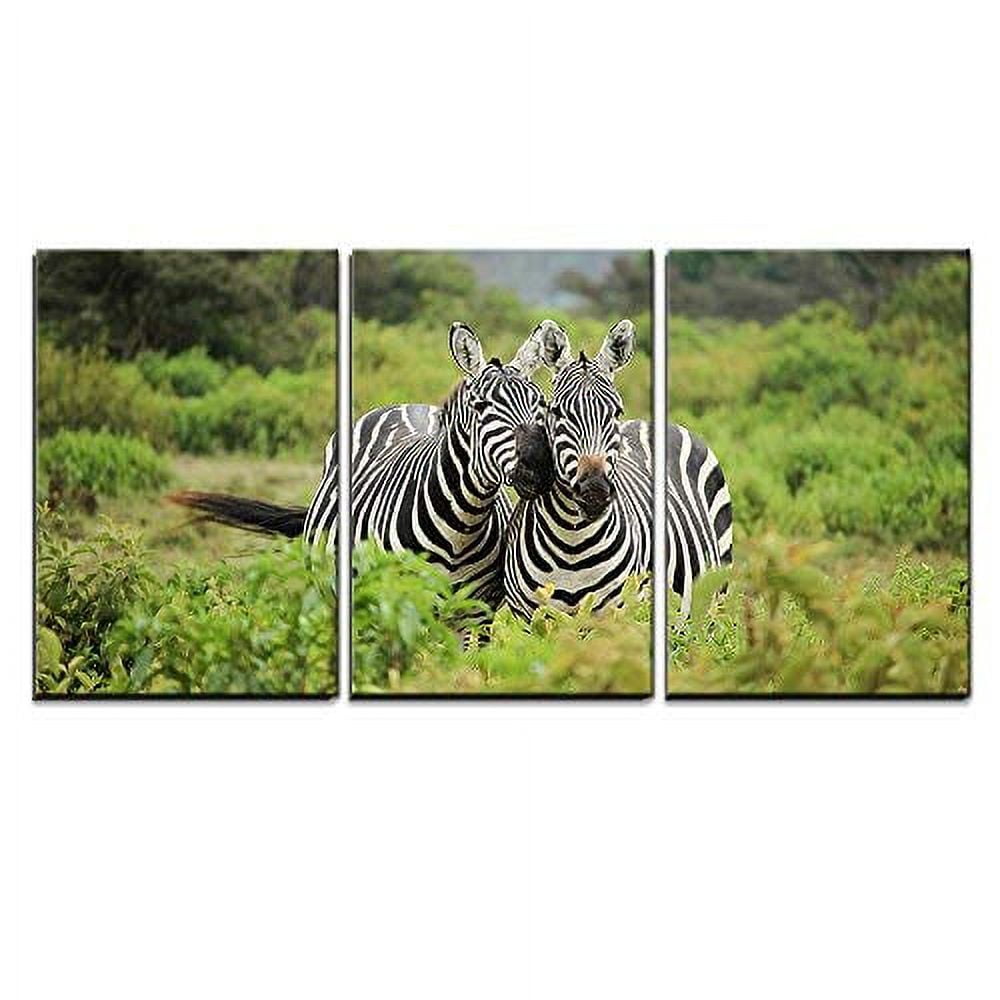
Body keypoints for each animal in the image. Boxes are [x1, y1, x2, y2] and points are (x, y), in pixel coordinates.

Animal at [171, 321, 562, 609]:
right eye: (481, 407)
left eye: (541, 404)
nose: (539, 467)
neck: (461, 525)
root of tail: (402, 405)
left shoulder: (475, 614)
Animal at [503, 319, 654, 618]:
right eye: (557, 412)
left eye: (616, 413)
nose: (594, 492)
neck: (573, 541)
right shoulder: (528, 616)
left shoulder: (613, 614)